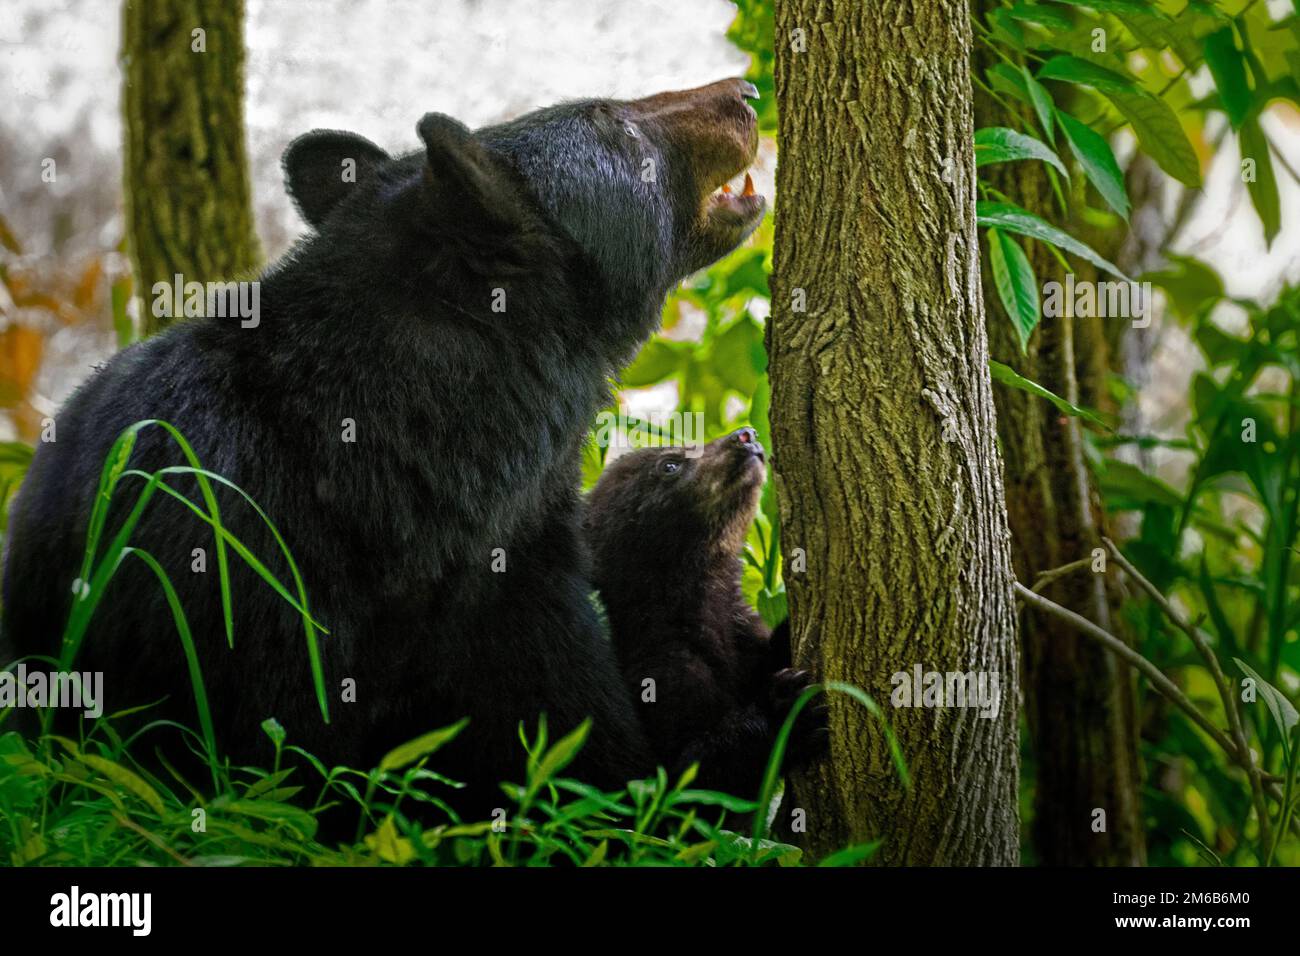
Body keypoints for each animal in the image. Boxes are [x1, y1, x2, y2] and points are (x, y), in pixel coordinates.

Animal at [582, 427, 827, 799]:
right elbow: (688, 782)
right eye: (669, 464)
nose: (745, 435)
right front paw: (788, 714)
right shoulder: (663, 676)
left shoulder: (745, 636)